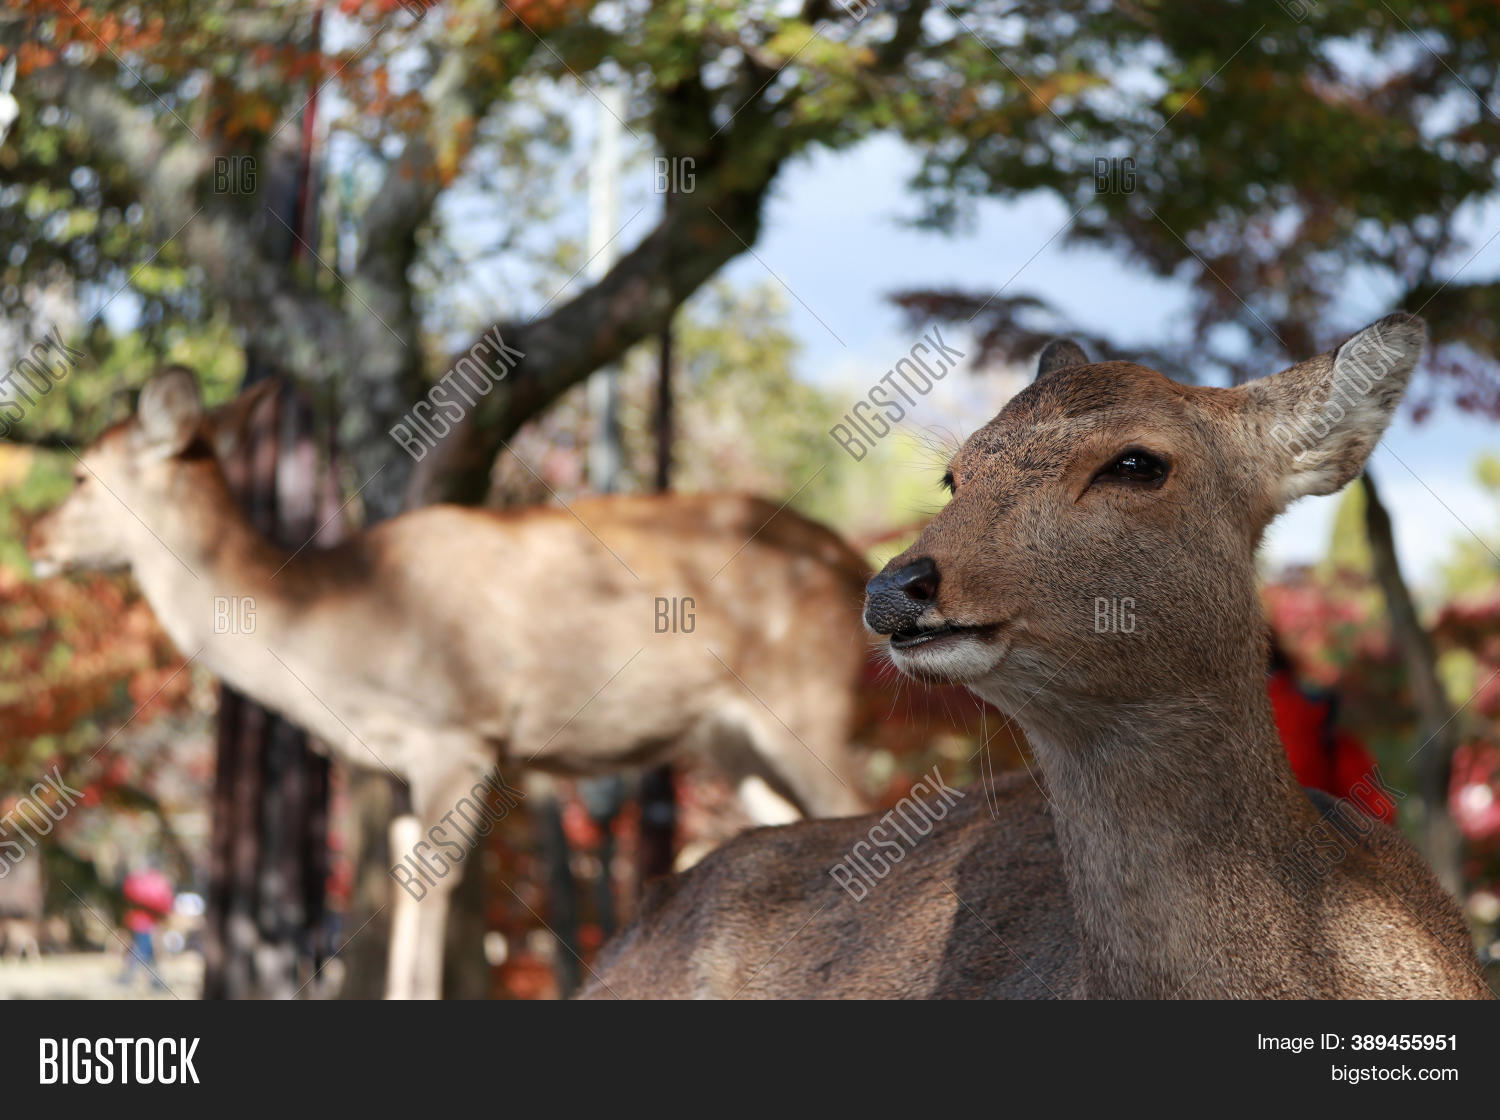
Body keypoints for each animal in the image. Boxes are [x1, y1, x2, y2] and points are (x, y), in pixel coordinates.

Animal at [26, 366, 874, 999]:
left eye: (82, 474)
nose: (33, 537)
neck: (333, 628)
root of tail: (852, 563)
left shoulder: (457, 732)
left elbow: (432, 885)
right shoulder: (395, 763)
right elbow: (401, 882)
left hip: (812, 696)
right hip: (736, 743)